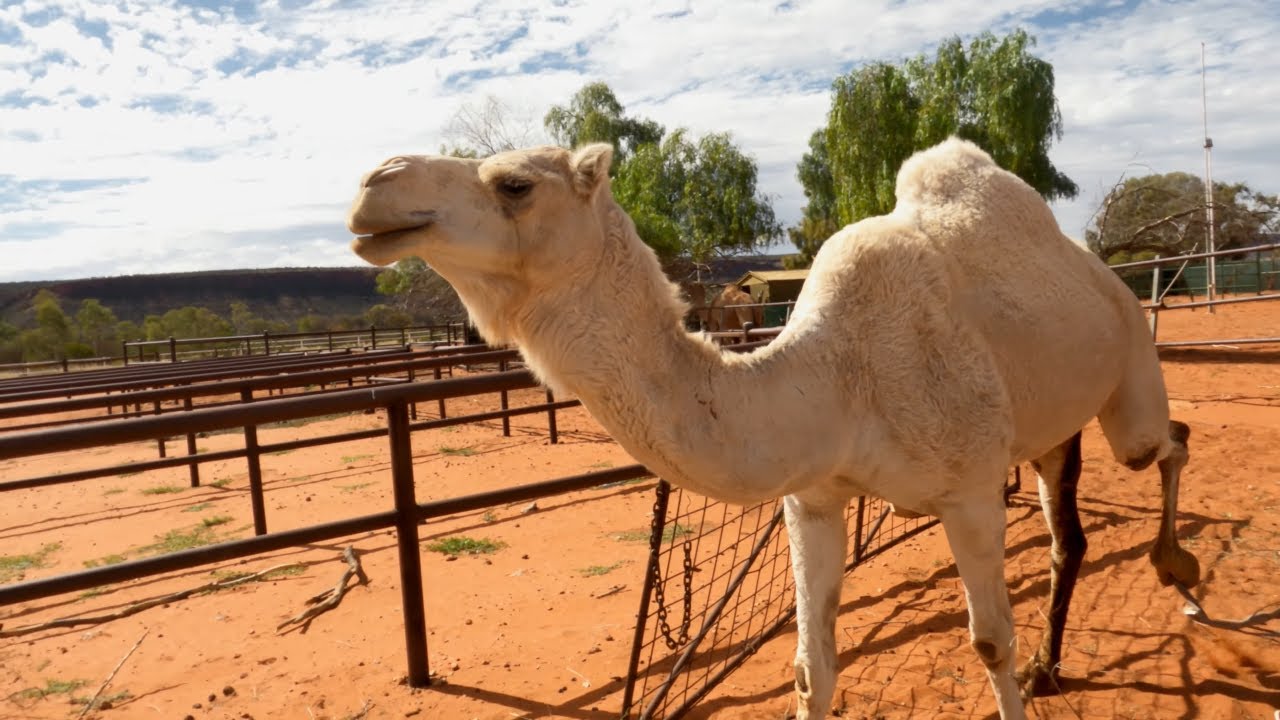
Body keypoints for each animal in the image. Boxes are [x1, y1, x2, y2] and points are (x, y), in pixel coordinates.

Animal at [345, 138, 1201, 719]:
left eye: (515, 185)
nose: (372, 185)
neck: (839, 381)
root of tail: (1102, 273)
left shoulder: (969, 493)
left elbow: (990, 642)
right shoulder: (812, 498)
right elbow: (810, 669)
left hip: (1130, 364)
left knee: (1170, 440)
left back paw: (1179, 573)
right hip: (1050, 424)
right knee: (1078, 528)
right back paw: (1061, 661)